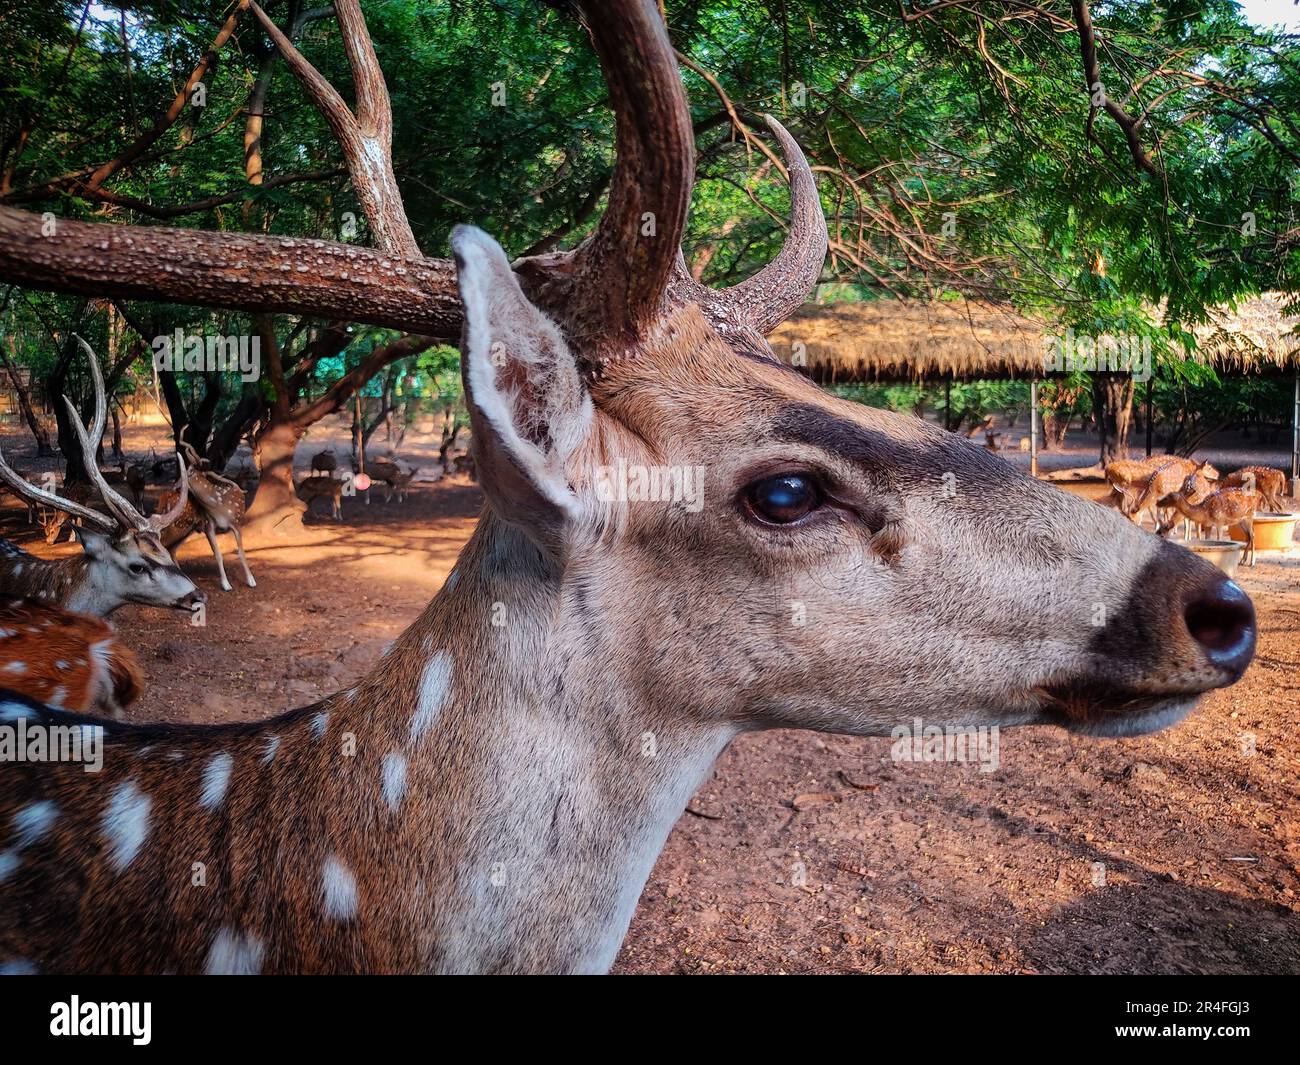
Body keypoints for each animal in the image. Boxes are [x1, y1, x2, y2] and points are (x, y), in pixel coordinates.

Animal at [155, 442, 255, 593]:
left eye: (189, 471)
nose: (175, 485)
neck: (221, 507)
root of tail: (163, 499)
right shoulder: (209, 524)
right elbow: (218, 554)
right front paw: (226, 585)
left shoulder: (237, 522)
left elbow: (241, 552)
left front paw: (251, 580)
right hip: (177, 524)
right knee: (162, 544)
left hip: (186, 528)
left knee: (171, 549)